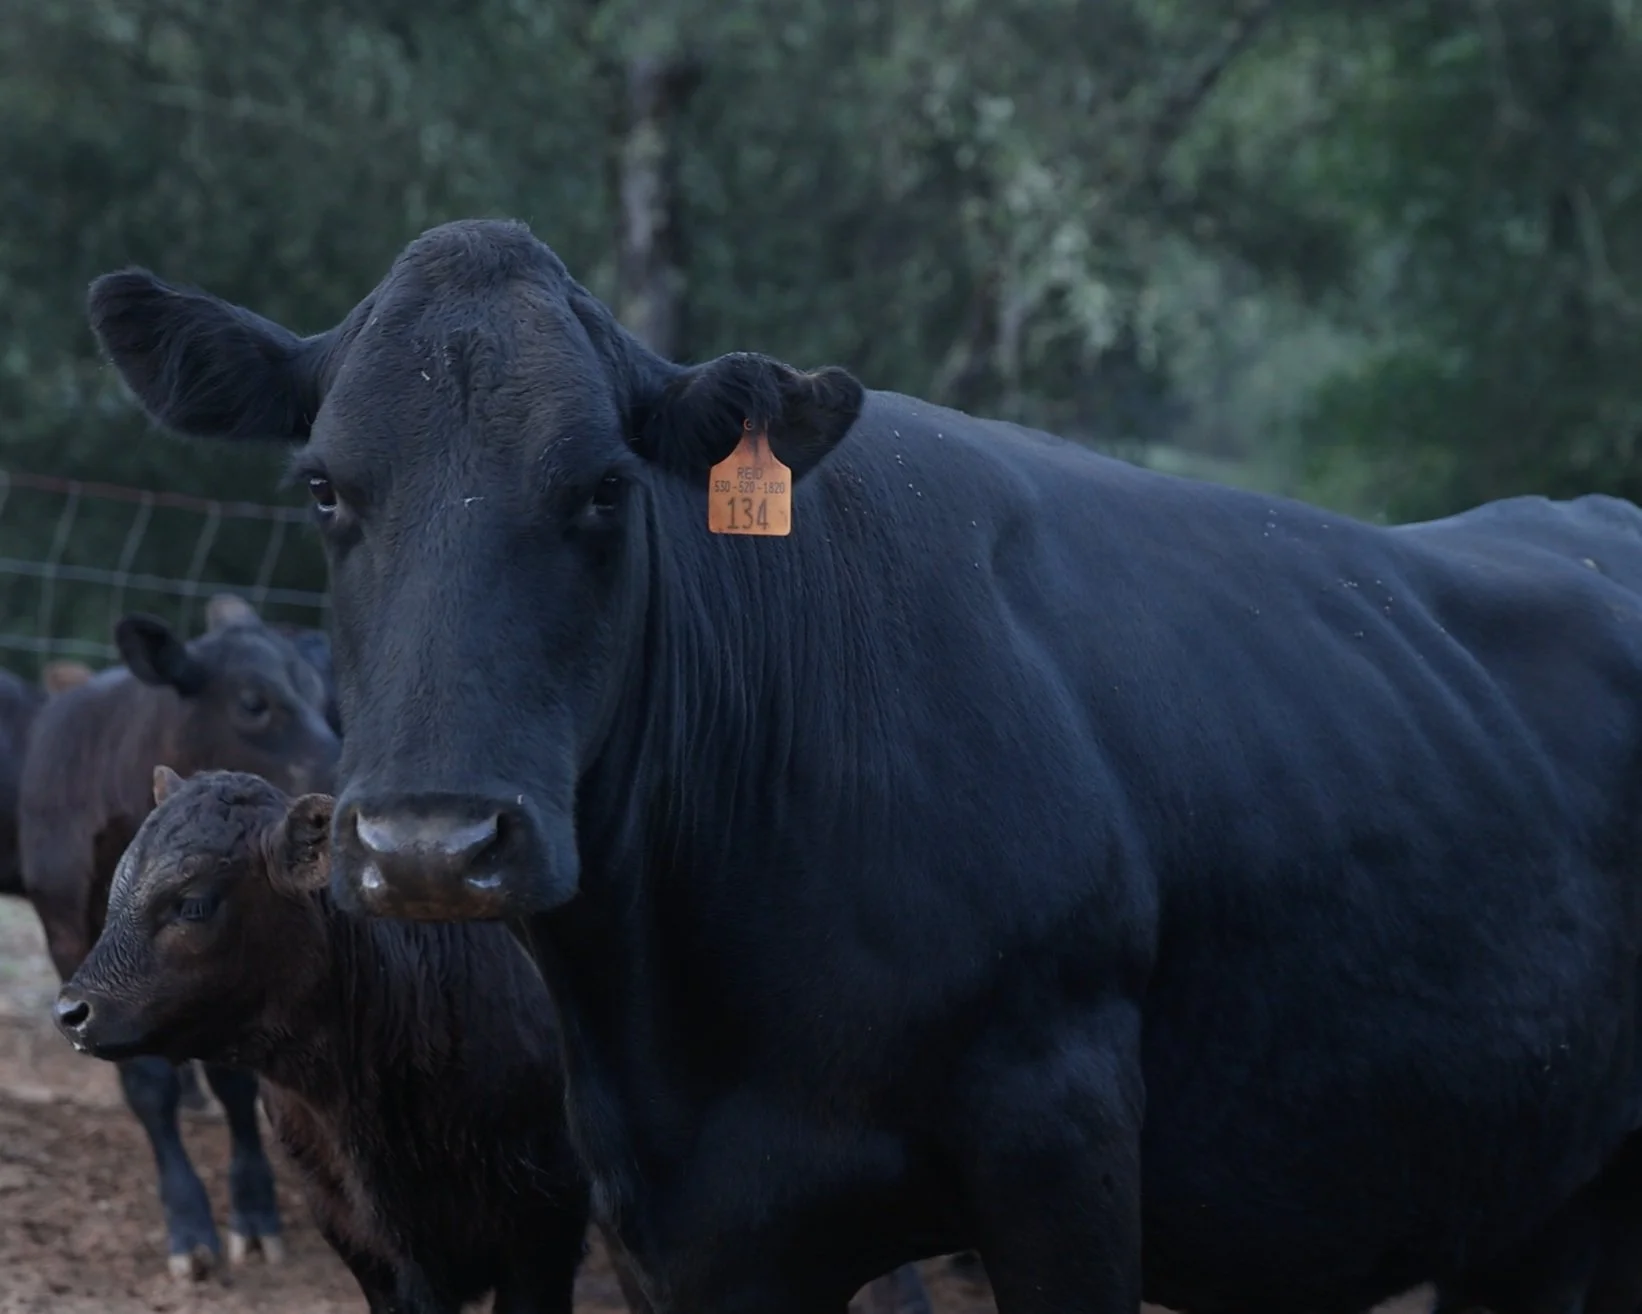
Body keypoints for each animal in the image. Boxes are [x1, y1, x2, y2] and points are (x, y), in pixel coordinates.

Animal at [20, 595, 339, 1280]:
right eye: (253, 702)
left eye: (320, 695)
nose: (336, 774)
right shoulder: (69, 941)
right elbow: (147, 1084)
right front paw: (189, 1224)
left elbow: (237, 1083)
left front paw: (254, 1210)